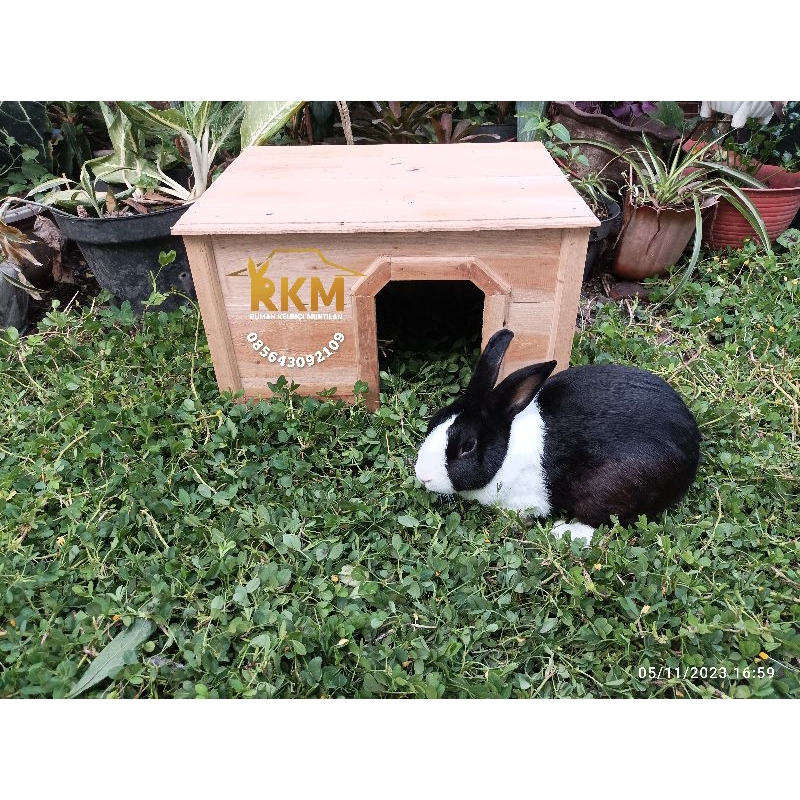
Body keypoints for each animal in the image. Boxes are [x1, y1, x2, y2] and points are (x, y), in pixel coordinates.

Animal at [414, 329, 701, 542]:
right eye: (434, 419)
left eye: (468, 446)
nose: (422, 476)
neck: (507, 448)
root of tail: (692, 454)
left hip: (612, 487)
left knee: (602, 520)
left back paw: (563, 531)